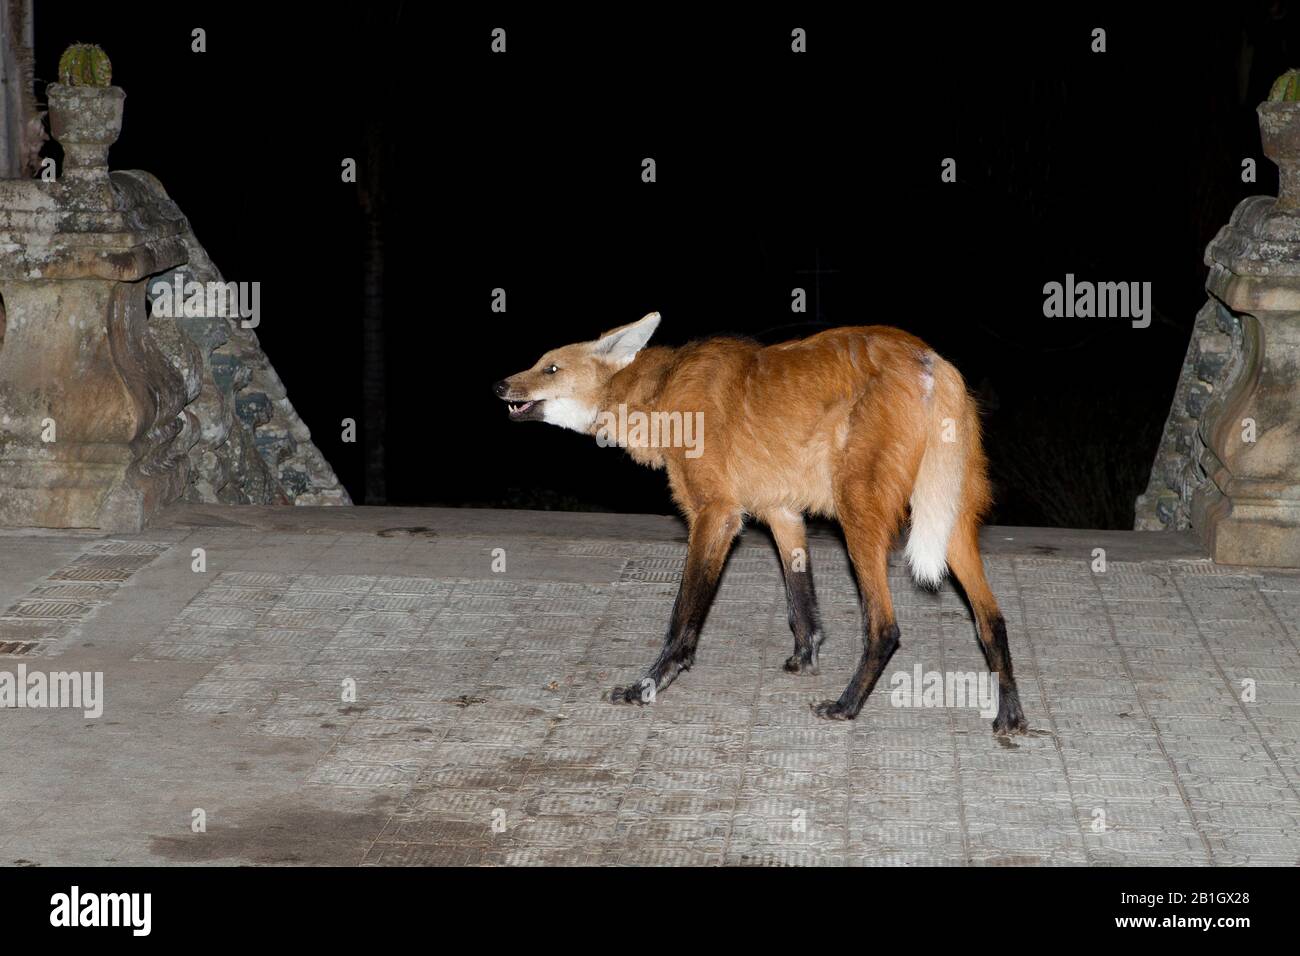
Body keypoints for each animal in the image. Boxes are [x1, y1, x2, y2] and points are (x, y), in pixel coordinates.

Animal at [494, 312, 1027, 733]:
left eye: (550, 368)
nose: (499, 385)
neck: (662, 393)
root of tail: (931, 360)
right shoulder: (782, 512)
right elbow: (802, 606)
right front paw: (804, 659)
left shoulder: (715, 515)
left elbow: (683, 619)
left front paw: (647, 685)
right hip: (950, 521)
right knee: (992, 620)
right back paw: (1011, 717)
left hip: (860, 517)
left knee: (885, 627)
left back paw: (846, 706)